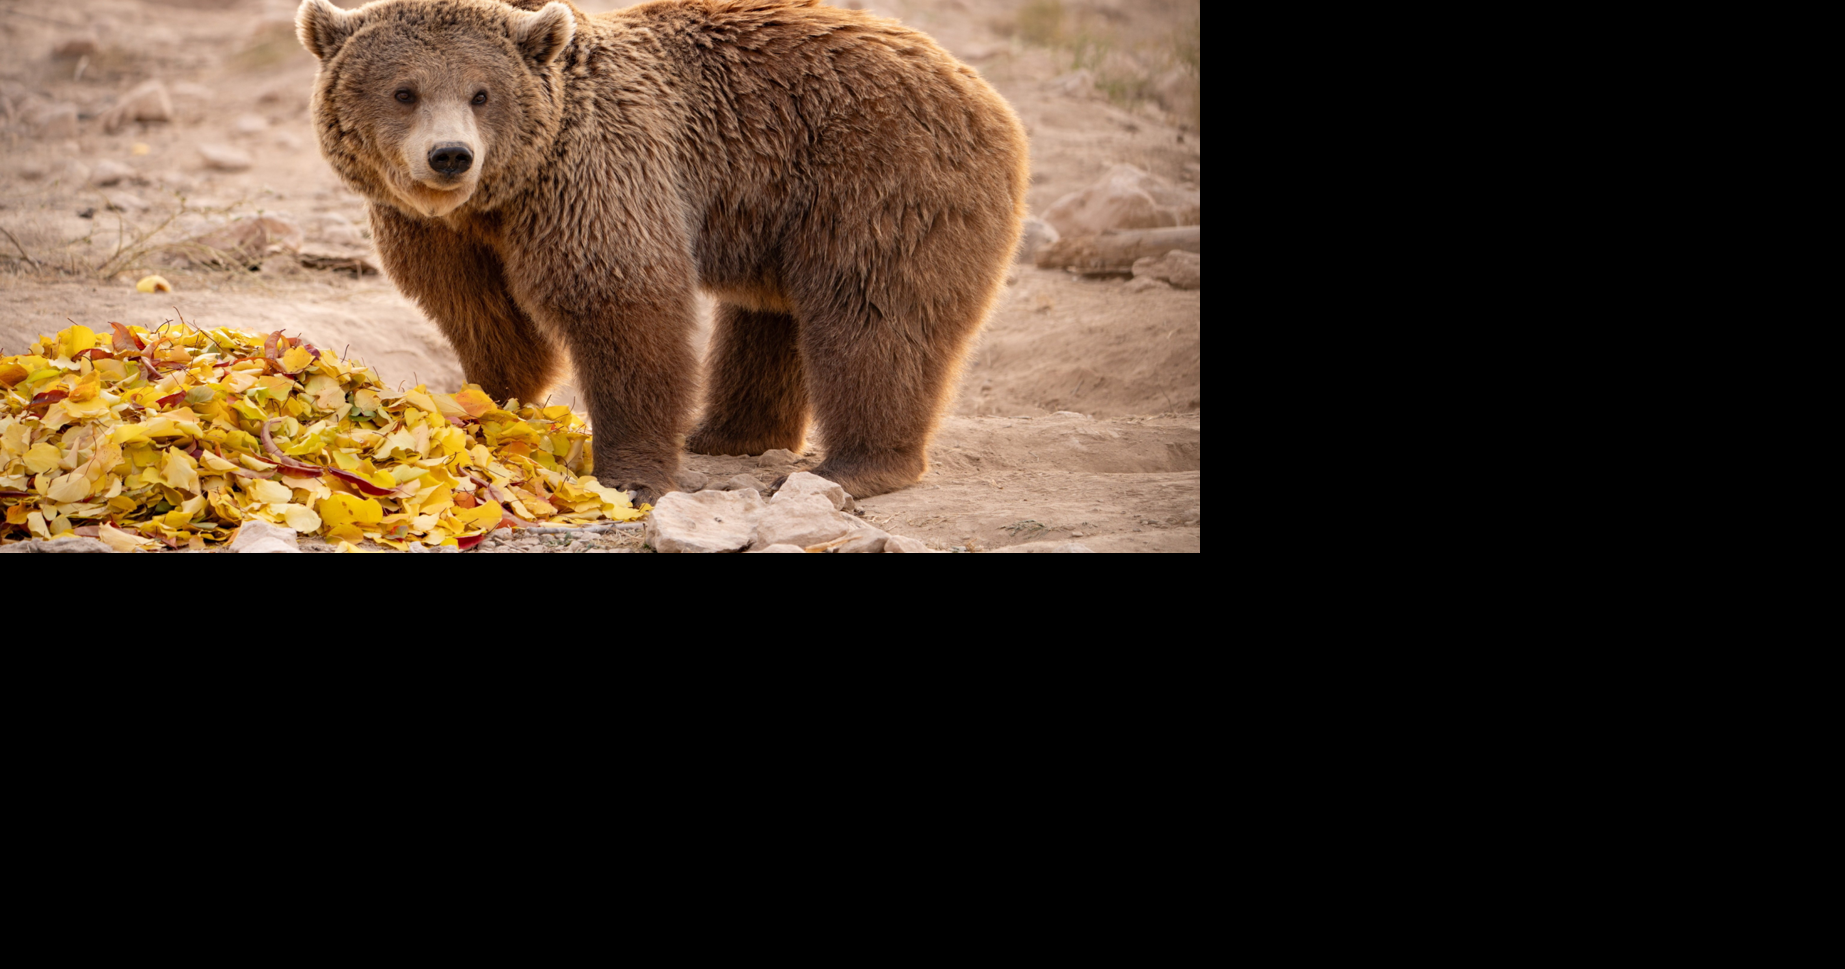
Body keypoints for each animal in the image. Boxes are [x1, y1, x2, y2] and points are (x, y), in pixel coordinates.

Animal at [295, 0, 1028, 502]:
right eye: (404, 90)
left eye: (481, 92)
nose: (450, 155)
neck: (504, 192)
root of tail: (985, 94)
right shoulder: (443, 231)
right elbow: (482, 313)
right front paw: (487, 404)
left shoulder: (596, 173)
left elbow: (621, 304)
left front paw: (627, 473)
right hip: (777, 212)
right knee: (768, 320)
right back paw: (728, 435)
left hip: (877, 174)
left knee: (873, 314)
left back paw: (859, 464)